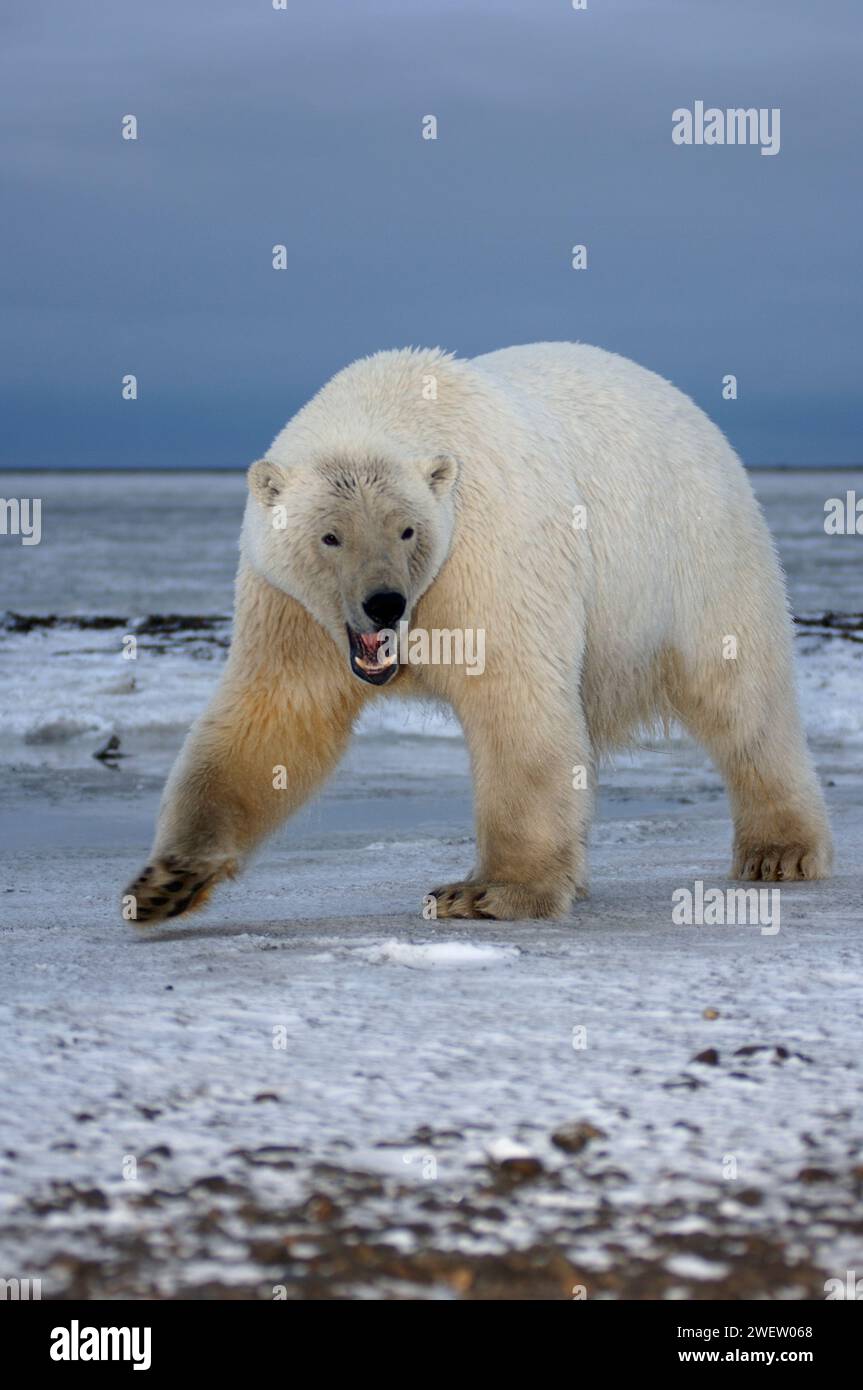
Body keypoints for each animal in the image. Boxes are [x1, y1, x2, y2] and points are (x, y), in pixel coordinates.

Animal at [123, 341, 833, 923]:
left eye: (407, 530)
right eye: (330, 536)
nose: (383, 604)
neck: (393, 403)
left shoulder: (485, 553)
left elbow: (515, 701)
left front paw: (487, 892)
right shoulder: (290, 609)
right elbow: (273, 716)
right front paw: (165, 883)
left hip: (695, 556)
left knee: (742, 697)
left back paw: (781, 852)